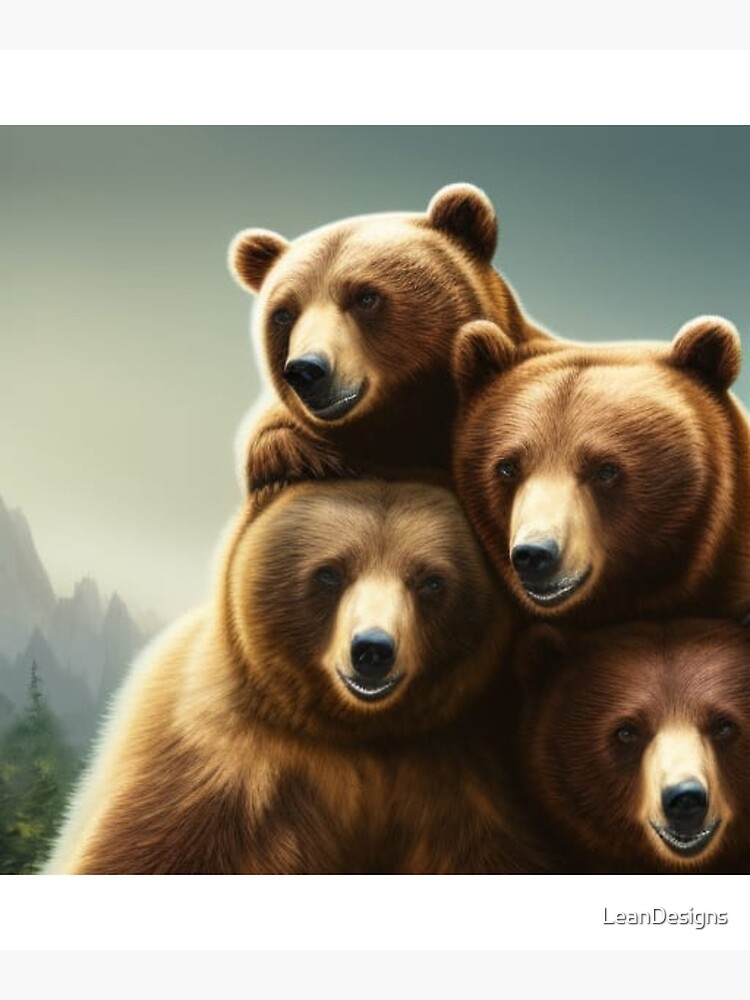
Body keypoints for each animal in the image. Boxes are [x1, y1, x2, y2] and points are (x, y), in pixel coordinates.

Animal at [44, 479, 548, 874]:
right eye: (329, 573)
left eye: (430, 581)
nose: (372, 650)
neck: (360, 731)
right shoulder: (213, 765)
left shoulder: (471, 784)